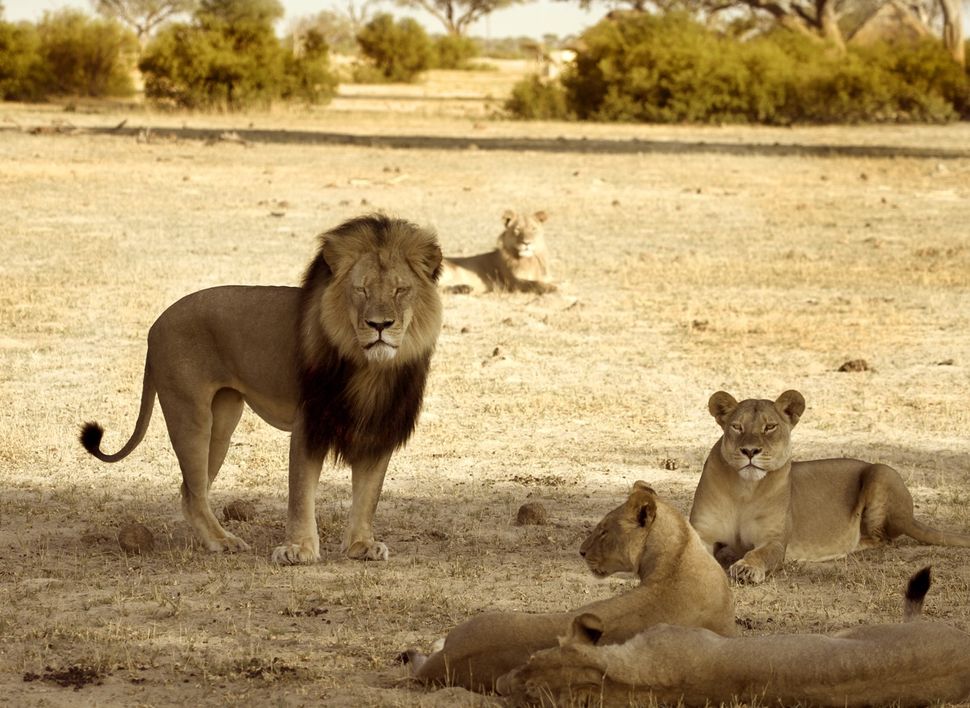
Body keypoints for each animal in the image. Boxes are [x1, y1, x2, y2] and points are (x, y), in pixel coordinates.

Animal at [79, 214, 443, 564]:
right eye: (361, 290)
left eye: (400, 290)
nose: (379, 325)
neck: (368, 367)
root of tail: (155, 325)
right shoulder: (309, 423)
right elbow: (301, 493)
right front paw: (298, 550)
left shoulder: (379, 424)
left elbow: (368, 495)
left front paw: (361, 546)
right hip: (190, 415)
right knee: (193, 492)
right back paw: (223, 541)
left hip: (223, 422)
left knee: (189, 490)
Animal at [688, 390, 970, 584]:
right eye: (737, 426)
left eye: (770, 426)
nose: (749, 451)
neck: (744, 490)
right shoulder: (703, 532)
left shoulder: (775, 540)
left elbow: (762, 555)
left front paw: (746, 568)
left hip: (881, 471)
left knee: (882, 538)